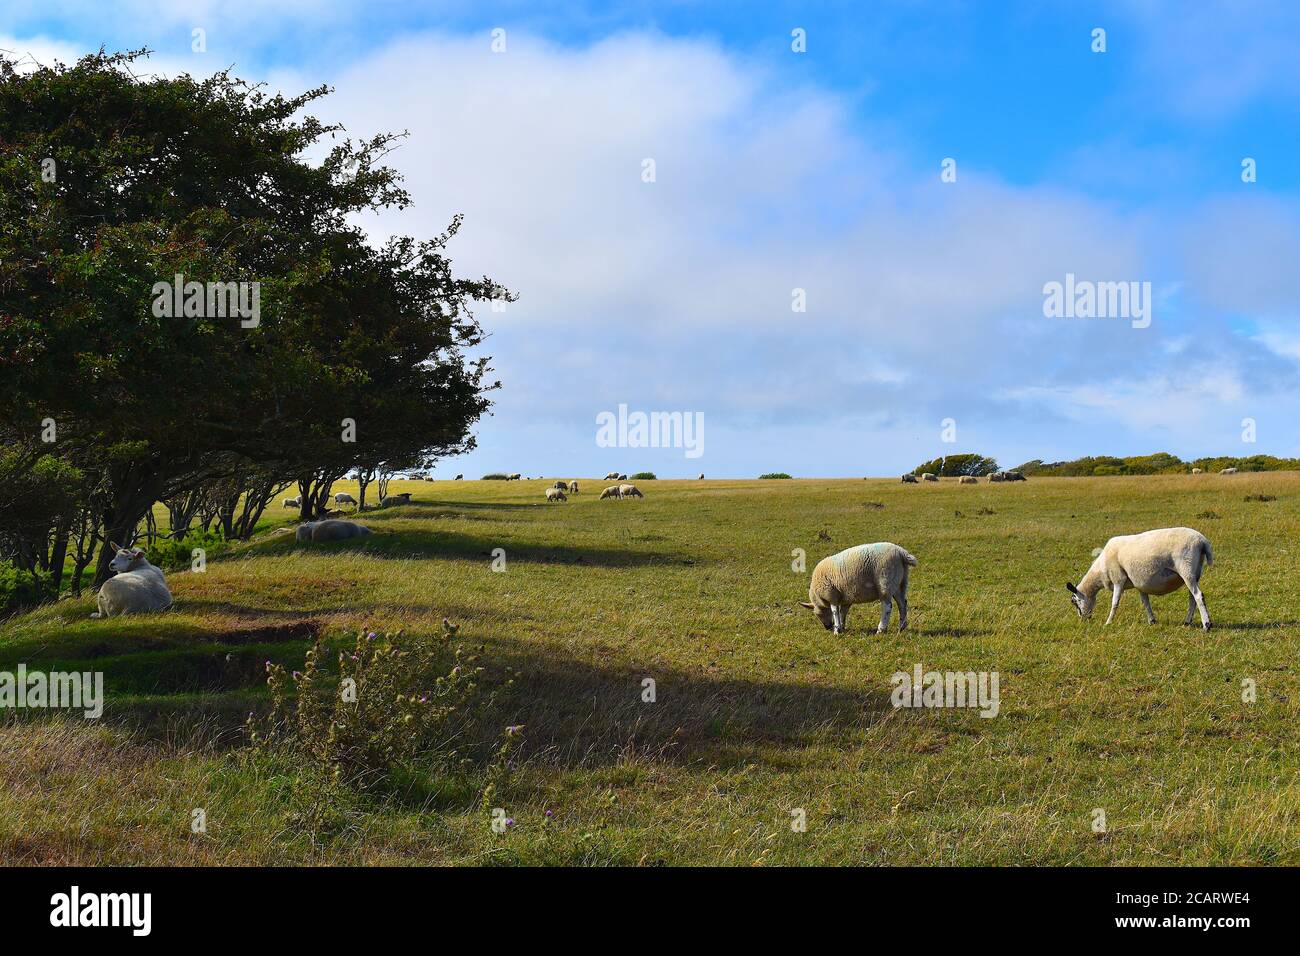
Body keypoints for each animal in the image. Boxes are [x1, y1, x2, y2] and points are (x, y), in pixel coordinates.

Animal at [1066, 527, 1213, 631]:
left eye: (1074, 601)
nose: (1083, 619)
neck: (1101, 571)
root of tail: (1202, 541)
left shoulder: (1118, 579)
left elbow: (1115, 603)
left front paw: (1108, 622)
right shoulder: (1139, 583)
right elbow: (1145, 602)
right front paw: (1152, 621)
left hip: (1186, 570)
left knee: (1198, 596)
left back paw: (1206, 625)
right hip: (1195, 573)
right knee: (1192, 598)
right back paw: (1187, 622)